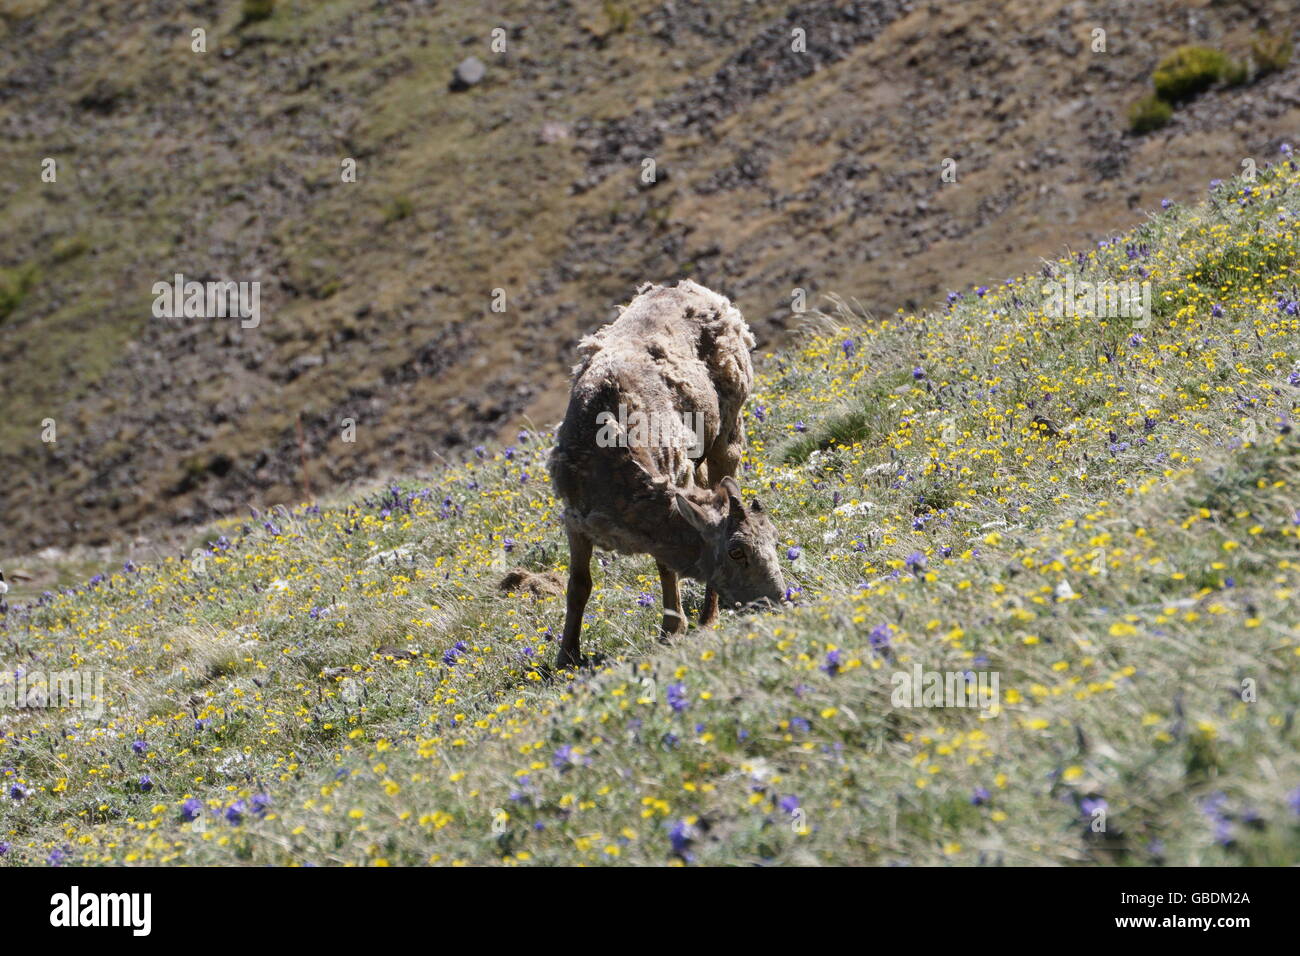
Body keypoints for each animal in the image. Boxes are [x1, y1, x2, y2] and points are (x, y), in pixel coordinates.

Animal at [548, 279, 785, 668]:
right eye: (737, 552)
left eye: (774, 540)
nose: (779, 601)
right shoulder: (575, 519)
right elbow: (579, 585)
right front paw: (565, 658)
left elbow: (664, 566)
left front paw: (672, 630)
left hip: (728, 433)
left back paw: (708, 618)